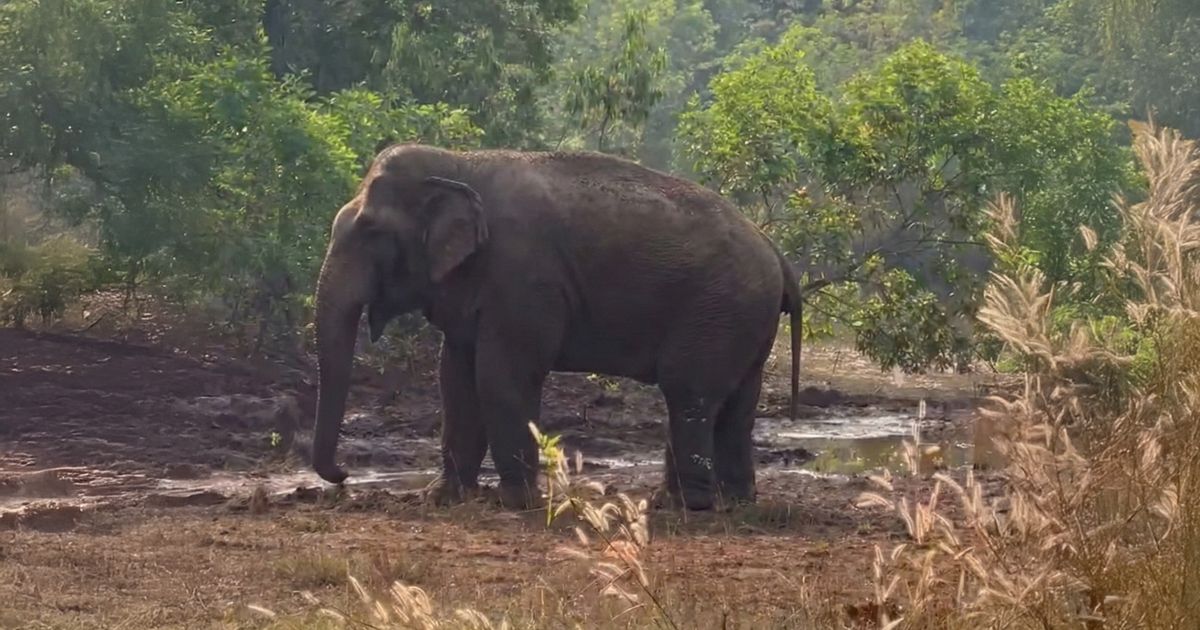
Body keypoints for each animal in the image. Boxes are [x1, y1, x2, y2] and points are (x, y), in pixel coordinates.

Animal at [311, 143, 804, 511]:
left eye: (371, 232)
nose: (343, 476)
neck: (460, 161)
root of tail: (777, 253)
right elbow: (455, 379)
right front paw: (443, 498)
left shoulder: (524, 279)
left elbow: (502, 376)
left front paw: (516, 502)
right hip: (744, 320)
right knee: (737, 403)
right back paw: (729, 502)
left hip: (719, 309)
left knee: (690, 392)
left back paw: (687, 506)